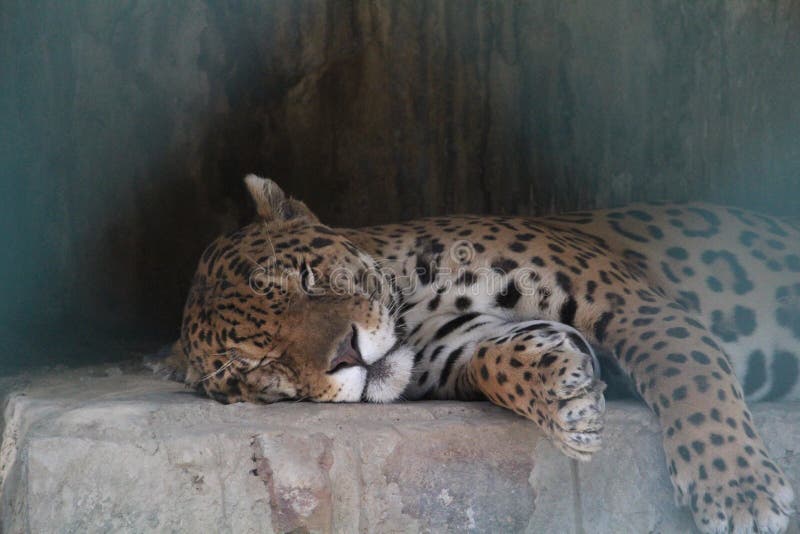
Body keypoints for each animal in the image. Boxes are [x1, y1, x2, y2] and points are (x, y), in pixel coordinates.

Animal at [167, 174, 798, 533]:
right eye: (259, 364)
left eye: (306, 277)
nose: (348, 352)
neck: (414, 302)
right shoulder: (454, 347)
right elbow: (495, 361)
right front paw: (566, 399)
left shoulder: (633, 303)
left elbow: (689, 379)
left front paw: (738, 492)